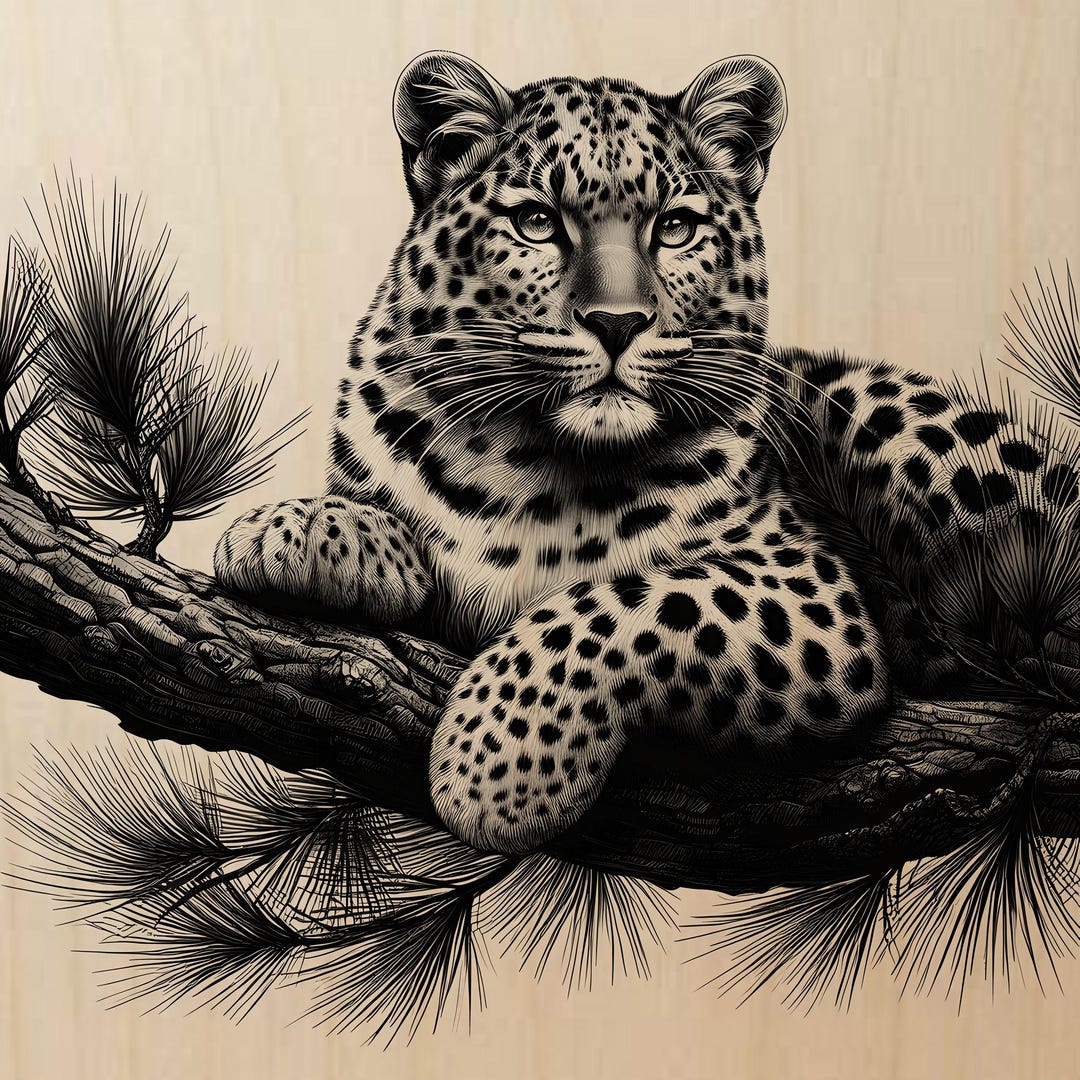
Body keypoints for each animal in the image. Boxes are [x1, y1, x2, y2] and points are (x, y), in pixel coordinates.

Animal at [215, 51, 1080, 855]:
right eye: (537, 221)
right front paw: (294, 529)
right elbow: (380, 512)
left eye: (675, 228)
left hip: (876, 409)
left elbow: (627, 601)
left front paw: (493, 771)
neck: (532, 467)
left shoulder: (809, 591)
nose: (617, 322)